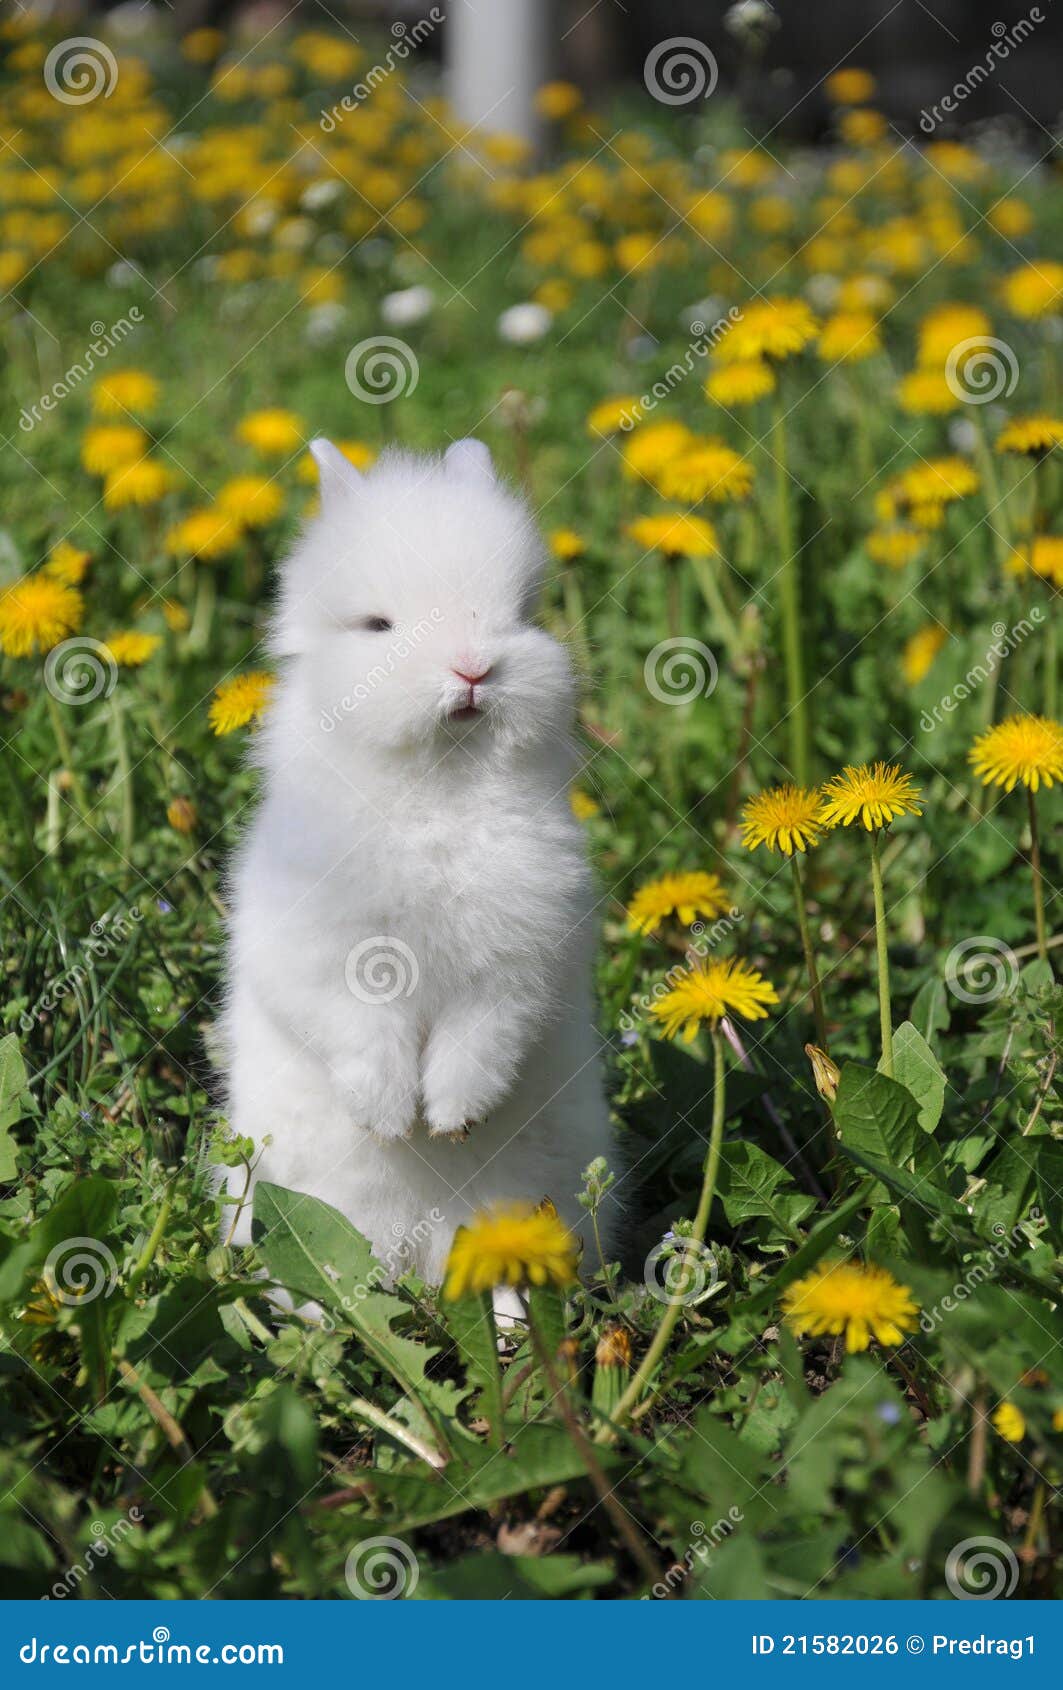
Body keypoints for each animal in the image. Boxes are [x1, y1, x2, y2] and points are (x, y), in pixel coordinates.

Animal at [216, 437, 615, 1315]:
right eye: (377, 626)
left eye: (521, 613)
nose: (472, 670)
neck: (441, 789)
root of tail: (422, 1256)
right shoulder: (327, 960)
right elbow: (360, 1034)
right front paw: (394, 1121)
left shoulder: (516, 969)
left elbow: (481, 1043)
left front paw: (450, 1118)